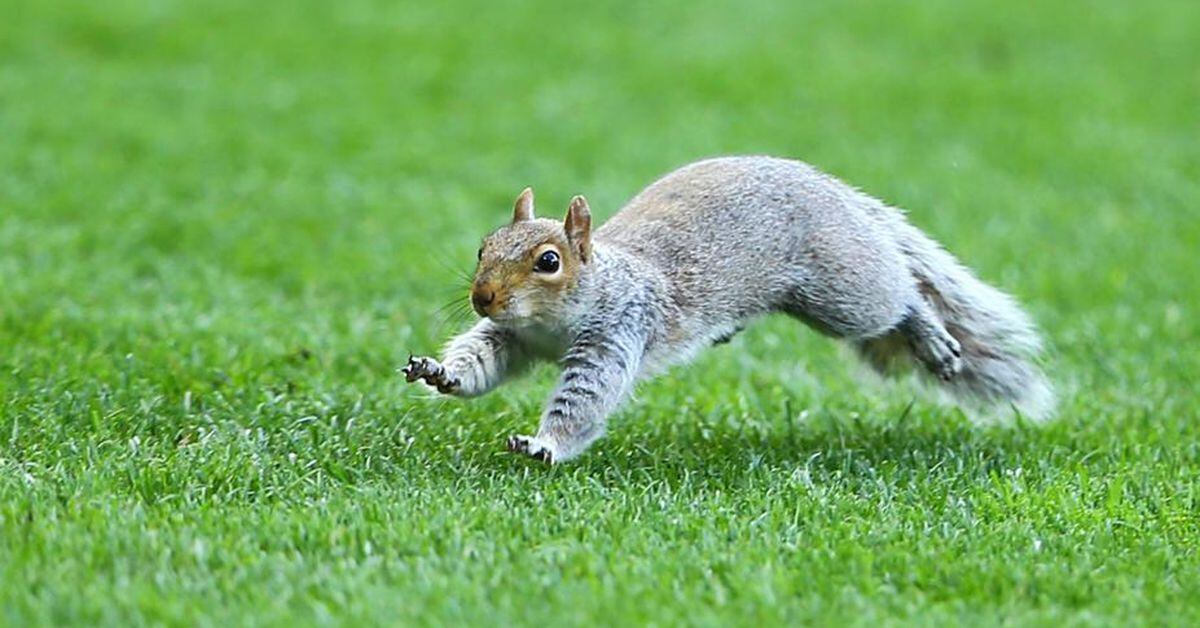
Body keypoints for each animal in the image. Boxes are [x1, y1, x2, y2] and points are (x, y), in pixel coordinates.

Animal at [403, 156, 1053, 463]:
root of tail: (833, 192)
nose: (482, 296)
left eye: (548, 261)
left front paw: (544, 445)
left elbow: (584, 398)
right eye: (483, 247)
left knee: (898, 298)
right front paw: (441, 372)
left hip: (840, 290)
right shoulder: (511, 337)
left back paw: (928, 331)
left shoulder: (617, 332)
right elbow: (482, 361)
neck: (551, 322)